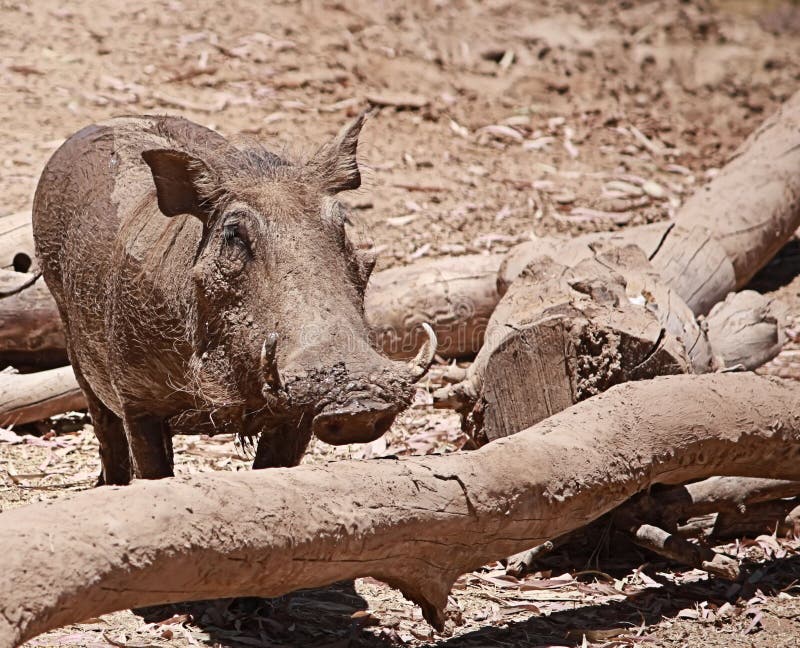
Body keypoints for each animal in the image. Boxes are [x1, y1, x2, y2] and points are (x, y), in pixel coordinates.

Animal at [32, 114, 436, 484]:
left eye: (341, 225)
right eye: (234, 234)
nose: (359, 401)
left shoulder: (295, 413)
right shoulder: (139, 404)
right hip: (79, 356)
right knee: (107, 435)